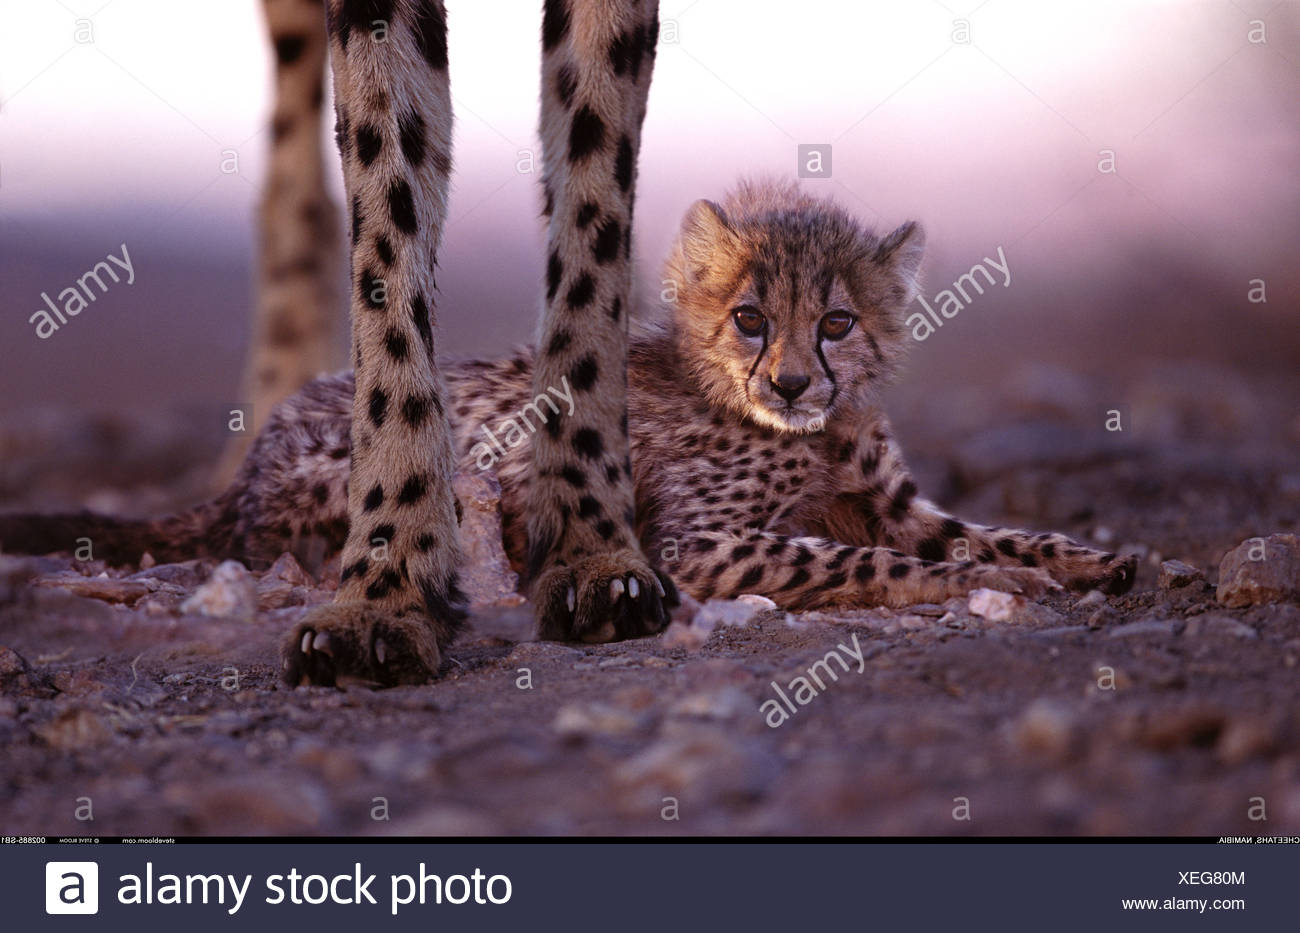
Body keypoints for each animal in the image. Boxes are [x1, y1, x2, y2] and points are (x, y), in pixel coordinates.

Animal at [0, 178, 1137, 685]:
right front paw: (1004, 583)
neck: (809, 428)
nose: (792, 379)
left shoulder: (893, 498)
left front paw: (1104, 561)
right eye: (750, 318)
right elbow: (867, 561)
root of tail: (253, 456)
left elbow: (988, 532)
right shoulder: (700, 544)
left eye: (837, 323)